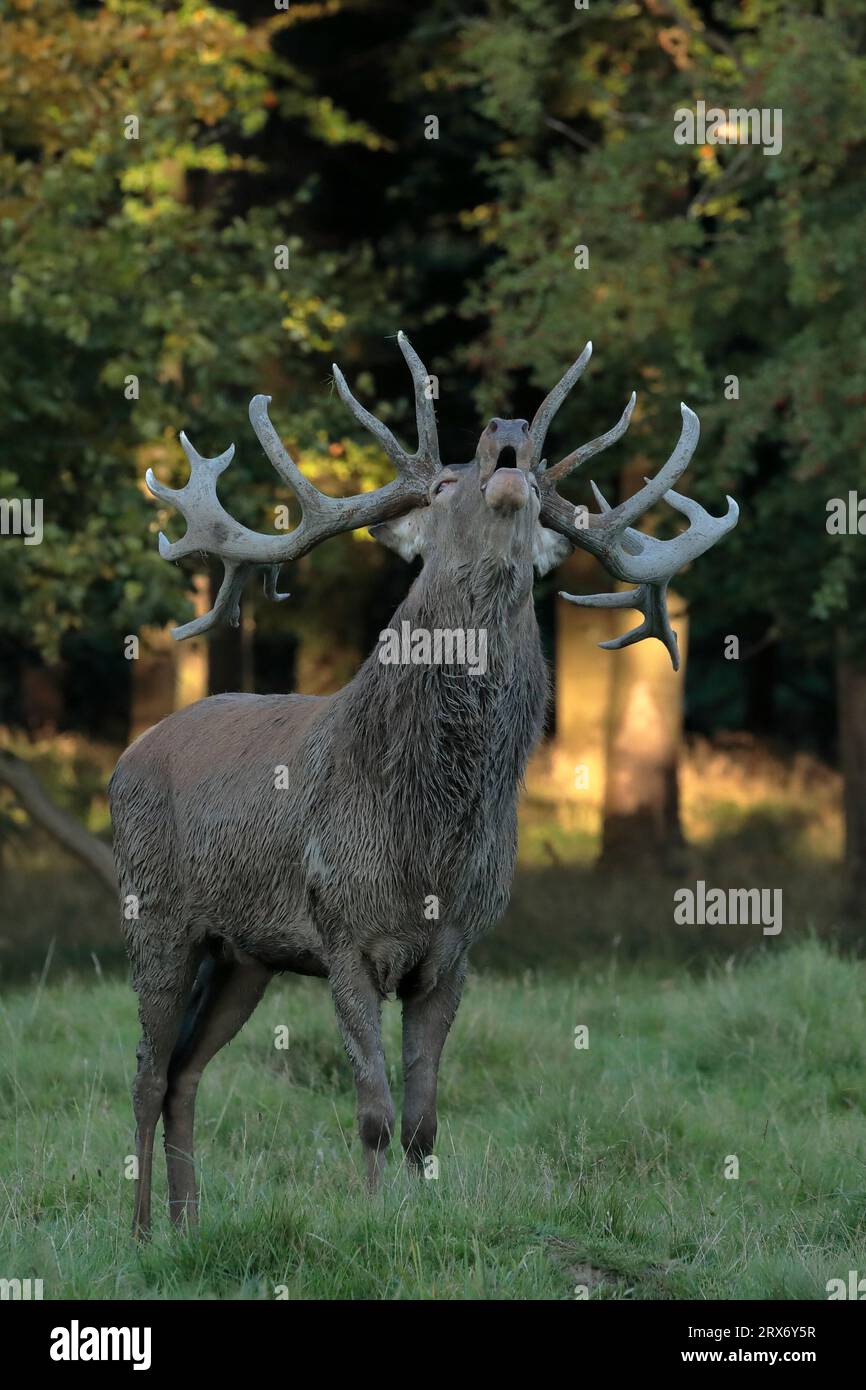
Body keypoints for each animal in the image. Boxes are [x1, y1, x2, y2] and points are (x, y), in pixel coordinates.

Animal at [109, 333, 738, 1237]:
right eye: (442, 485)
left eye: (541, 488)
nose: (507, 431)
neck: (429, 835)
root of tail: (126, 758)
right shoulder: (341, 930)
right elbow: (372, 1110)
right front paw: (370, 1218)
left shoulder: (457, 948)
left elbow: (422, 1119)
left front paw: (420, 1212)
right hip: (154, 914)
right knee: (147, 1071)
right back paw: (141, 1231)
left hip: (242, 954)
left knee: (188, 1071)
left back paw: (191, 1222)